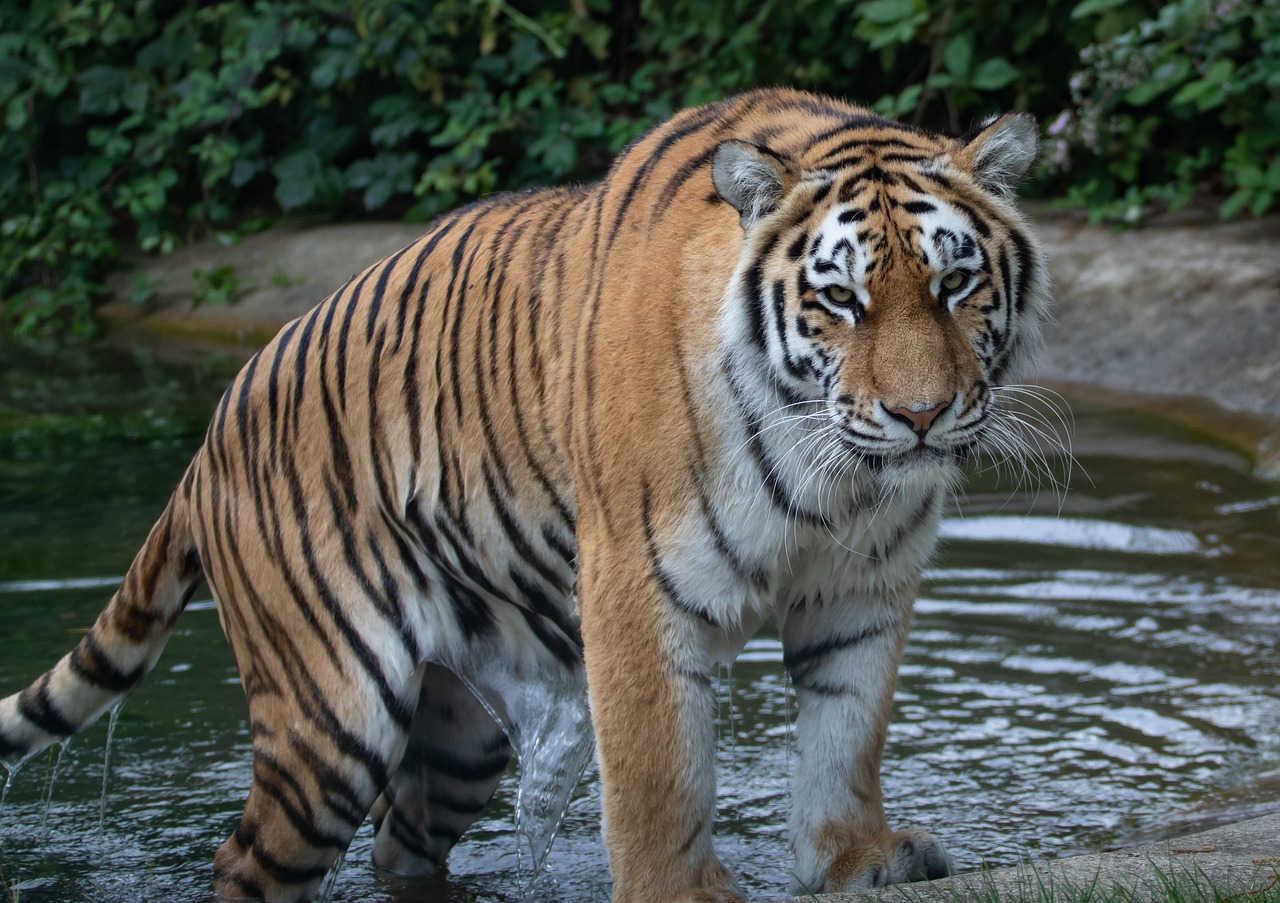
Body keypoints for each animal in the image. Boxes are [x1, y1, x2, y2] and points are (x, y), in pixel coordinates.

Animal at [0, 88, 1049, 903]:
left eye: (956, 283)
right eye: (841, 301)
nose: (921, 415)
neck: (837, 480)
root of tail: (206, 442)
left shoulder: (860, 590)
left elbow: (845, 734)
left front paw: (857, 859)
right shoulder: (638, 583)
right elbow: (660, 773)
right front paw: (680, 890)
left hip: (458, 737)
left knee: (400, 841)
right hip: (331, 717)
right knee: (243, 862)